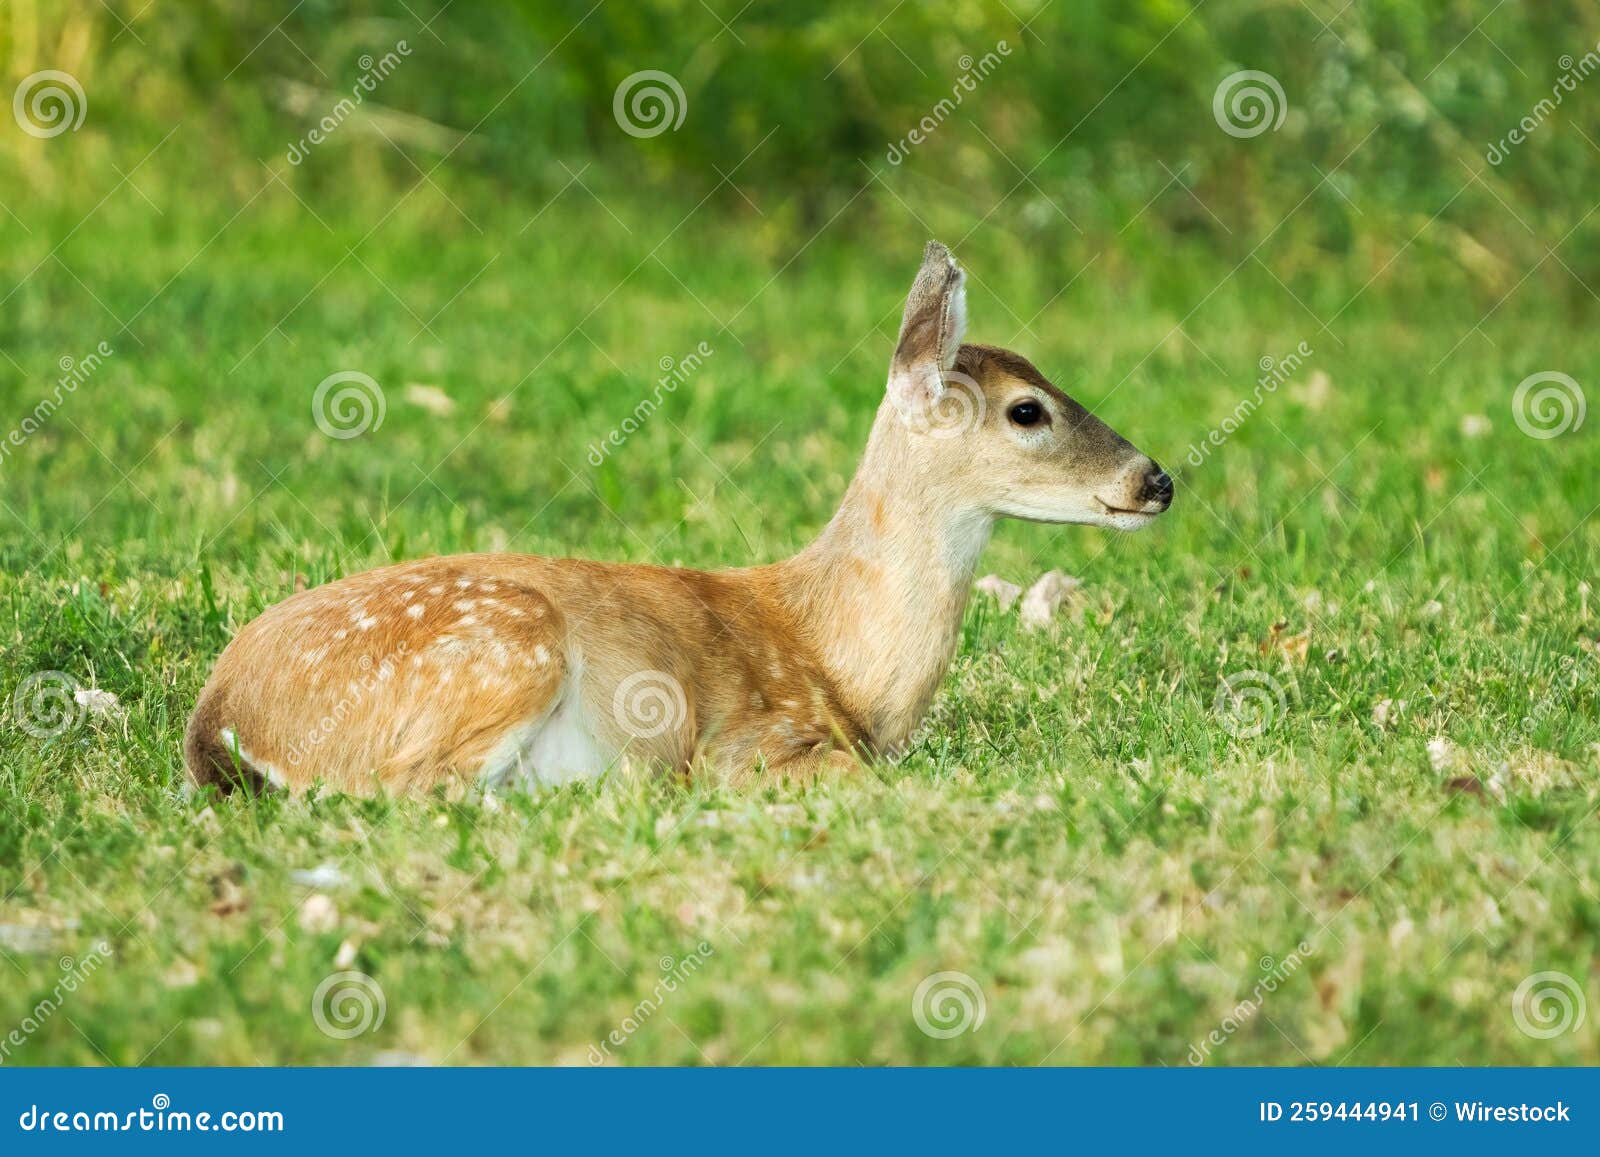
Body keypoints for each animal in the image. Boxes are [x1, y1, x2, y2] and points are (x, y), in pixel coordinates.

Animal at [185, 242, 1172, 795]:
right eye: (1028, 411)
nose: (1156, 479)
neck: (840, 658)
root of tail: (220, 717)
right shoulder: (757, 740)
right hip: (506, 647)